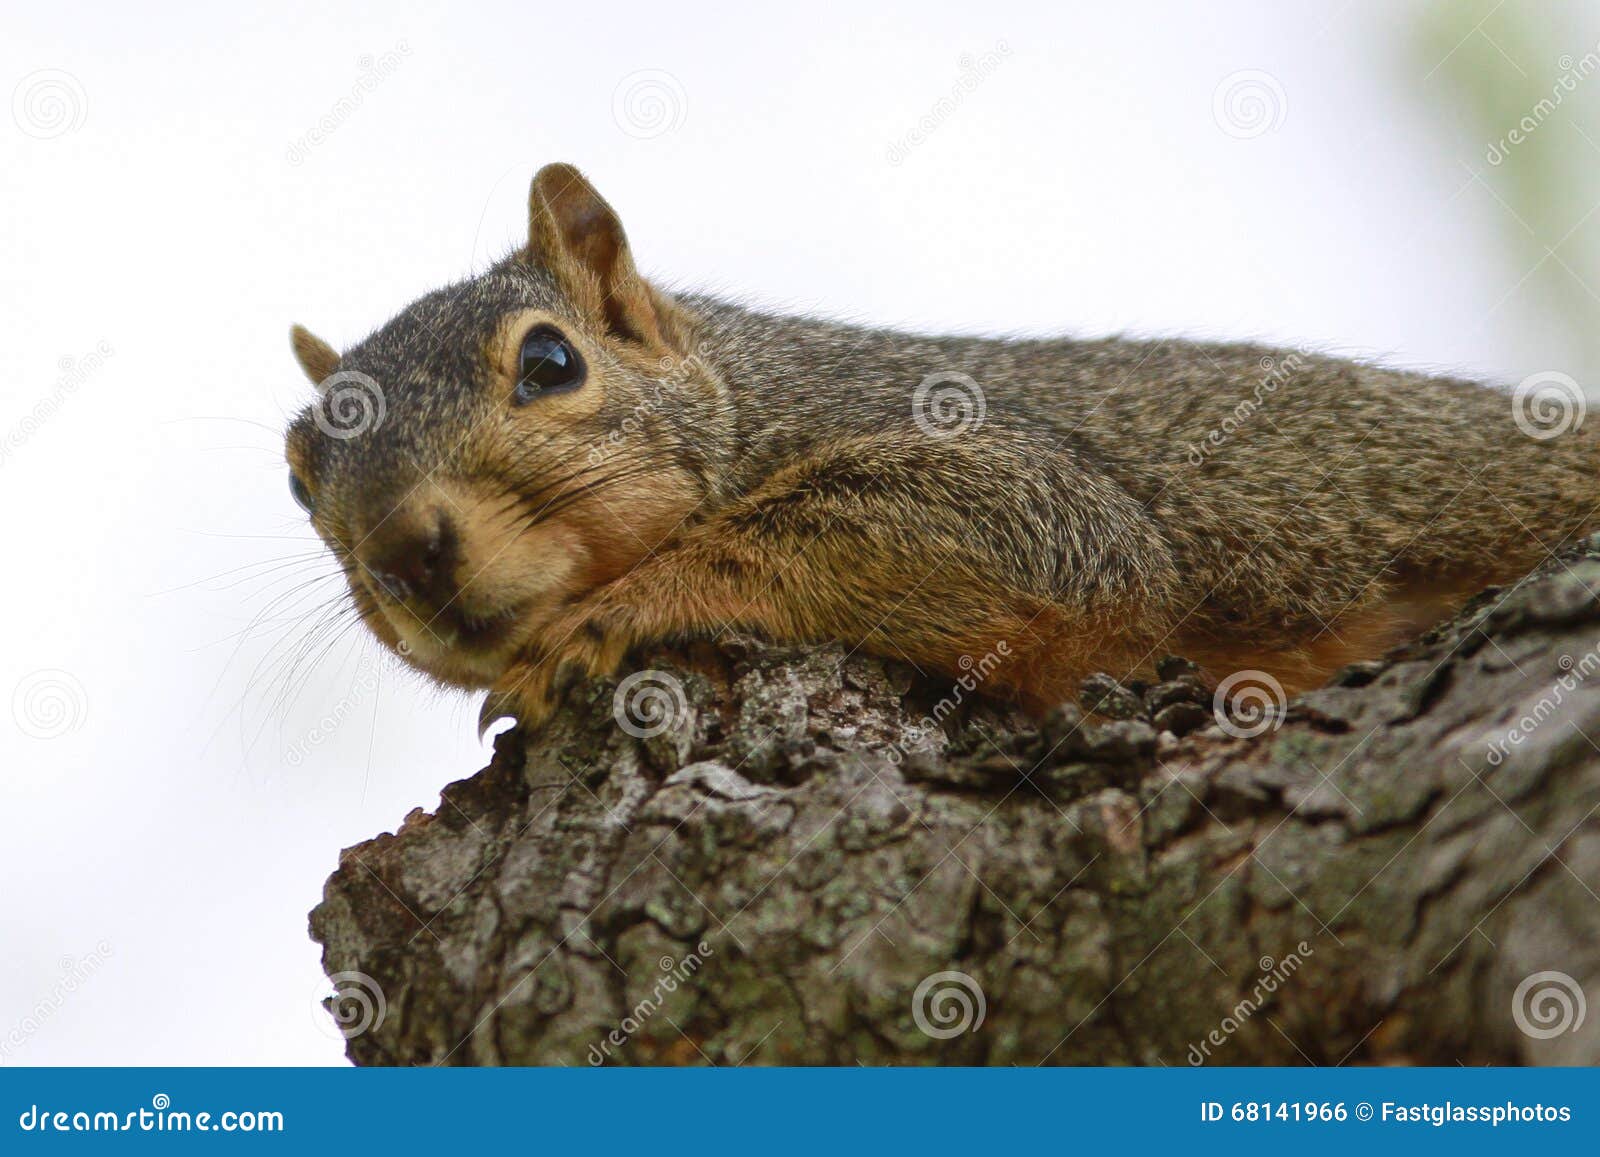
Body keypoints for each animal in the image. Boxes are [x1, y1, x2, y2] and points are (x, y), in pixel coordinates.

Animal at [284, 162, 1599, 737]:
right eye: (300, 478)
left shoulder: (1012, 478)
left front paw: (611, 612)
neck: (754, 391)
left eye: (551, 362)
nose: (403, 548)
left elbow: (1074, 552)